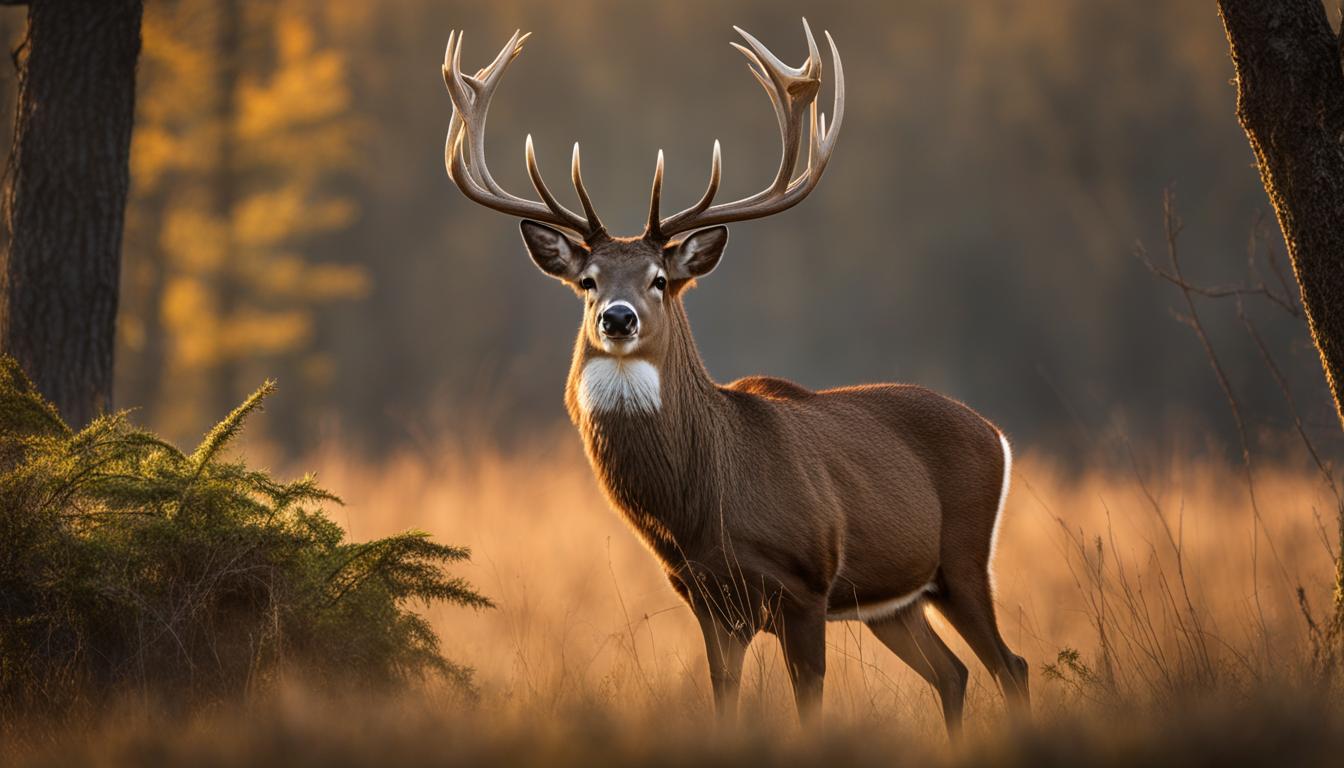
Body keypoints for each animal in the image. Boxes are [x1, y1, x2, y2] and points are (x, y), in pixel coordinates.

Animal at [440, 21, 1029, 735]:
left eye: (659, 280)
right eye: (587, 281)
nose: (617, 316)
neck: (704, 508)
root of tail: (995, 433)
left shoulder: (807, 584)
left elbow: (809, 705)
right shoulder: (708, 601)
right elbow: (724, 700)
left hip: (964, 558)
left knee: (1010, 665)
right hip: (896, 601)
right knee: (954, 672)